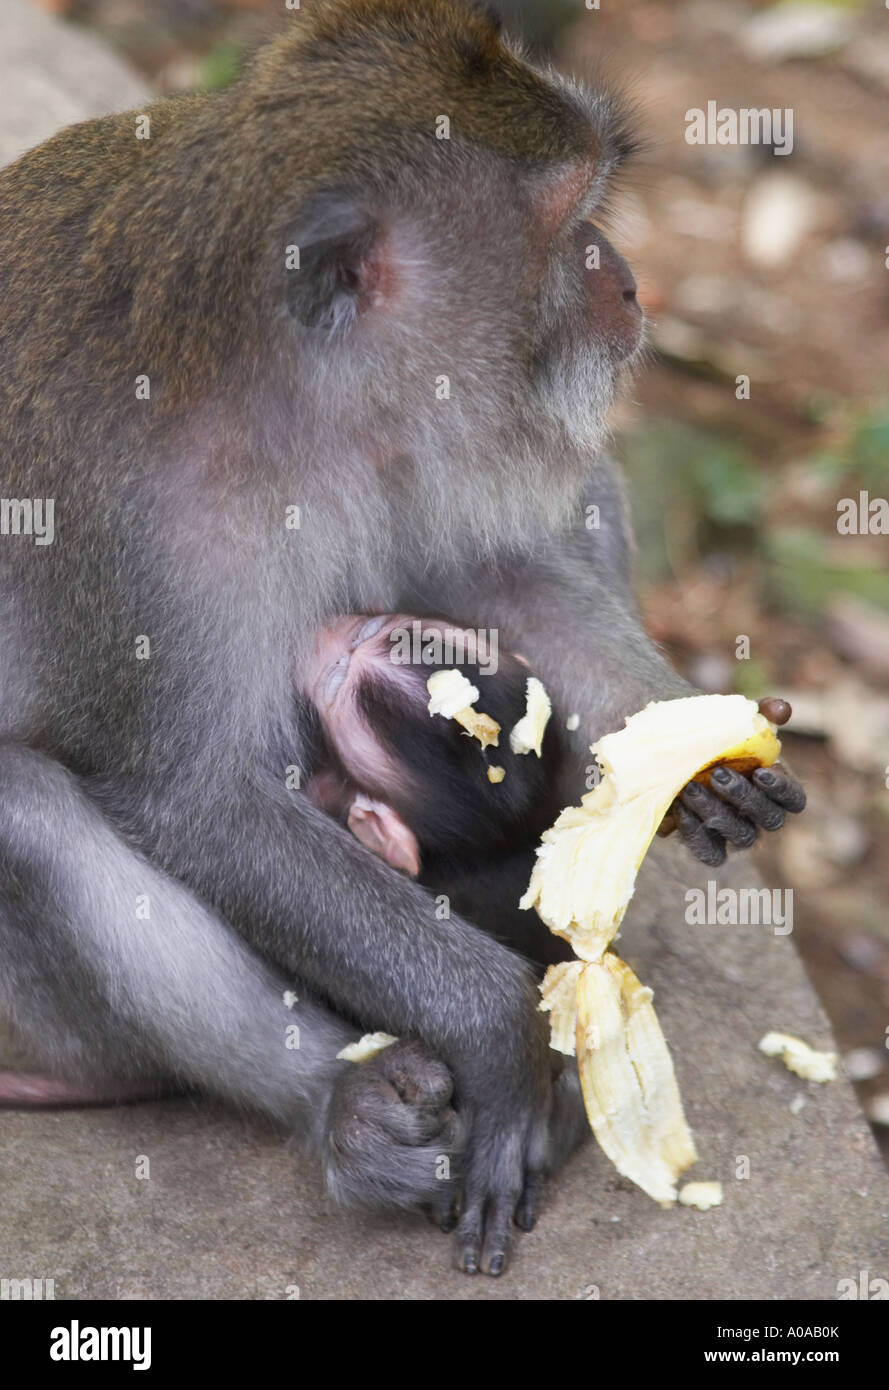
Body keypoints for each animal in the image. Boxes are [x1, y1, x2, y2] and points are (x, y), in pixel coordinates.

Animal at [0, 0, 806, 1276]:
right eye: (566, 222)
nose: (627, 284)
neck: (287, 396)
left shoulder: (431, 428)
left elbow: (491, 571)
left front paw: (690, 765)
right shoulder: (136, 526)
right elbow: (197, 801)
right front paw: (496, 1034)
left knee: (590, 486)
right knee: (22, 809)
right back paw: (342, 1100)